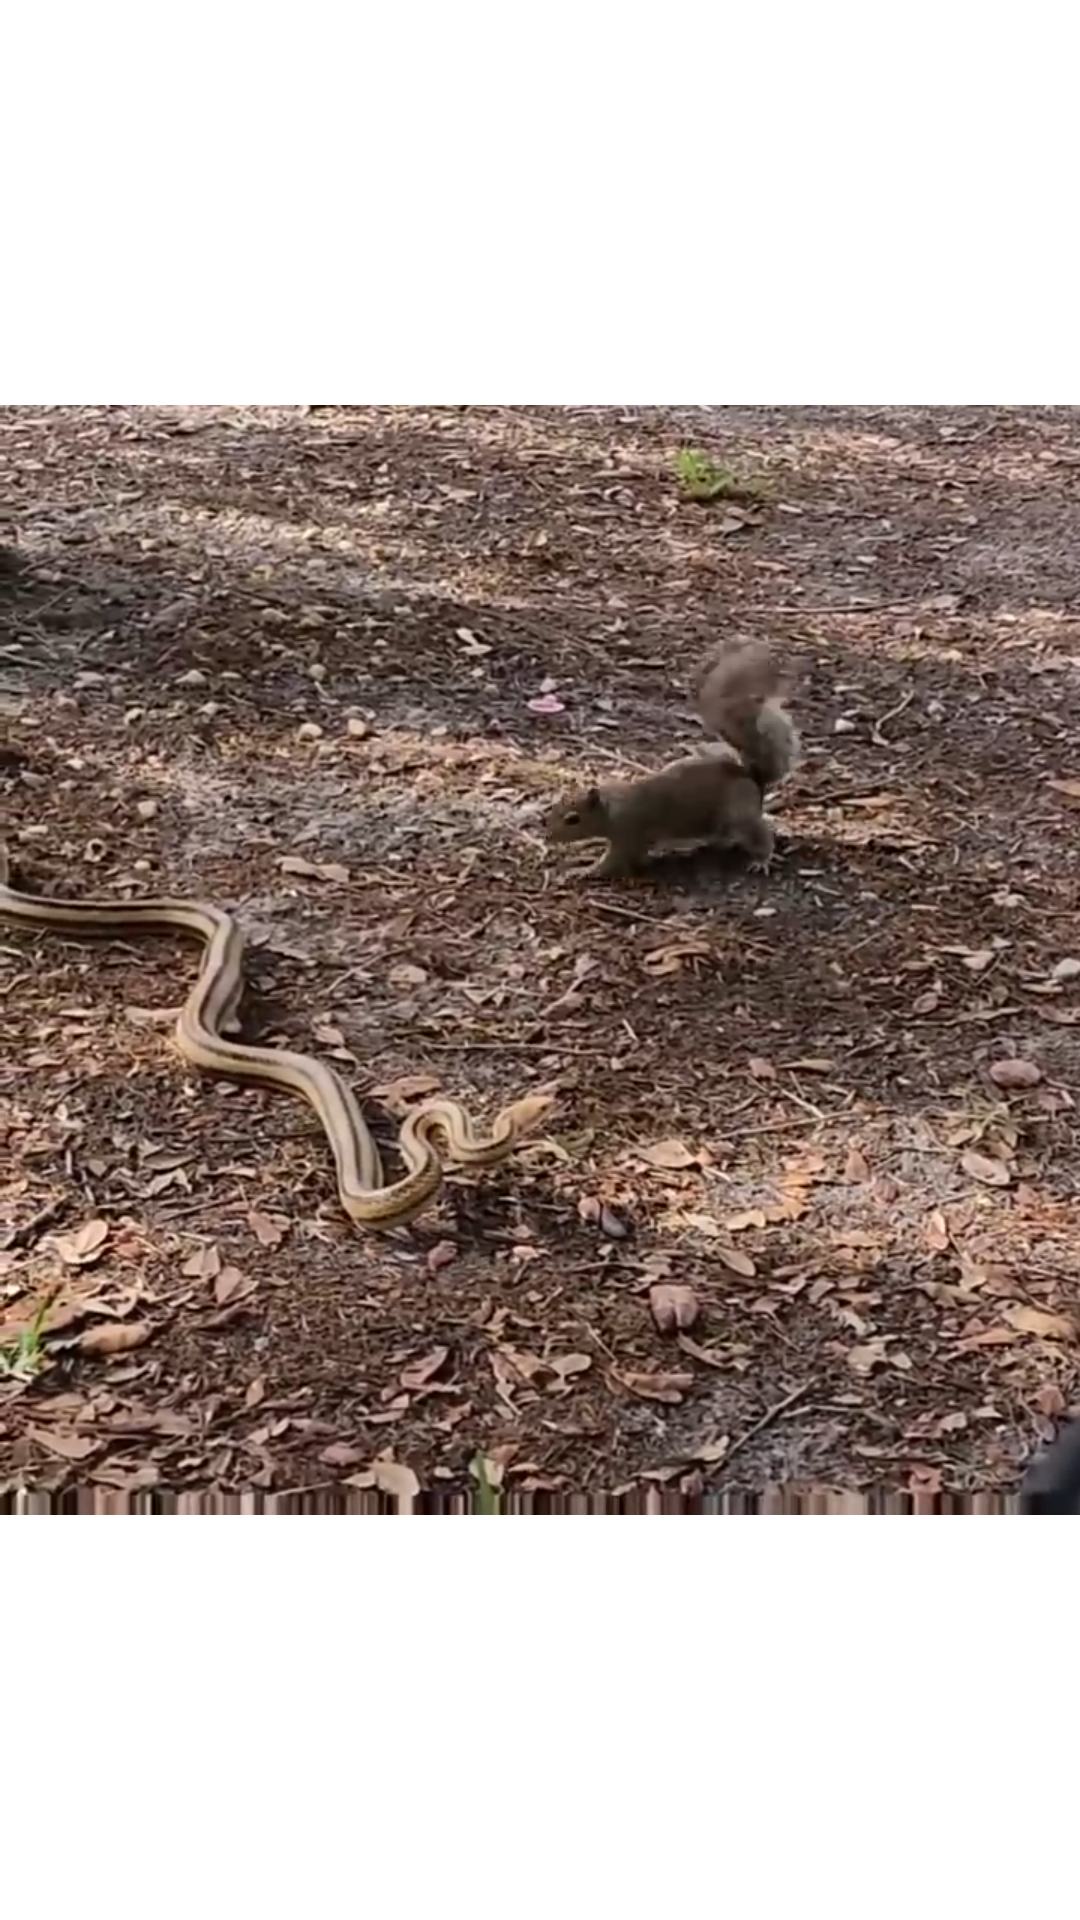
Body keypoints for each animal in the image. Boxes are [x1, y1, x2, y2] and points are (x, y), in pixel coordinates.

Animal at [545, 640, 799, 880]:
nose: (548, 837)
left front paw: (583, 870)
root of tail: (752, 779)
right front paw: (588, 847)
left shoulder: (630, 834)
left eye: (573, 819)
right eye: (554, 808)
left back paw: (762, 859)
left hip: (740, 816)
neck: (612, 808)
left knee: (758, 836)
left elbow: (613, 862)